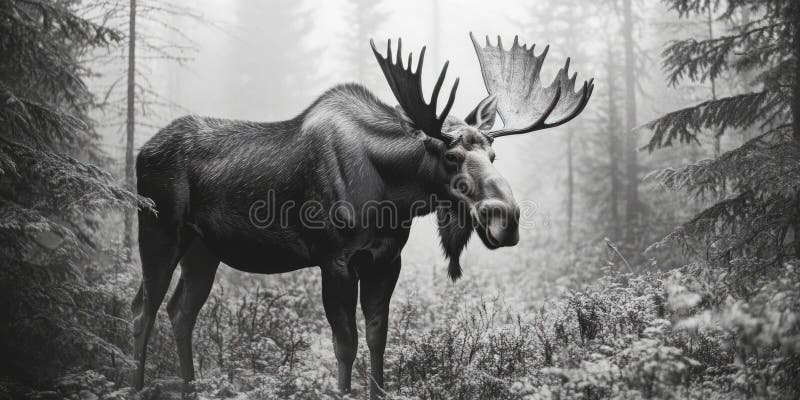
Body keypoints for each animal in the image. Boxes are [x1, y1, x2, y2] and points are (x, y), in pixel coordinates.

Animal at [131, 33, 594, 398]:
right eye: (451, 156)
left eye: (494, 155)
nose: (507, 218)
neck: (392, 198)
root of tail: (141, 152)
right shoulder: (334, 258)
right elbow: (345, 342)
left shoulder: (386, 259)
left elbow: (377, 337)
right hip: (159, 230)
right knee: (143, 308)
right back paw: (133, 386)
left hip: (204, 249)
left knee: (181, 312)